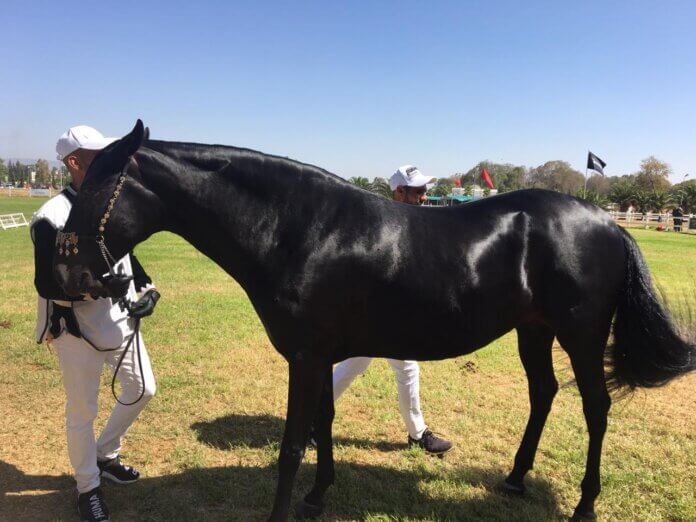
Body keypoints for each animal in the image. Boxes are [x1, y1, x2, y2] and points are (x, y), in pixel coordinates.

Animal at [54, 120, 695, 521]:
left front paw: (286, 508)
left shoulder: (306, 358)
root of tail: (608, 223)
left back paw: (585, 504)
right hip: (533, 330)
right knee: (544, 393)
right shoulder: (320, 355)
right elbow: (324, 423)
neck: (299, 229)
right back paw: (514, 479)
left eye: (98, 189)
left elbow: (292, 444)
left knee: (596, 406)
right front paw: (317, 497)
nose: (70, 274)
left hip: (581, 334)